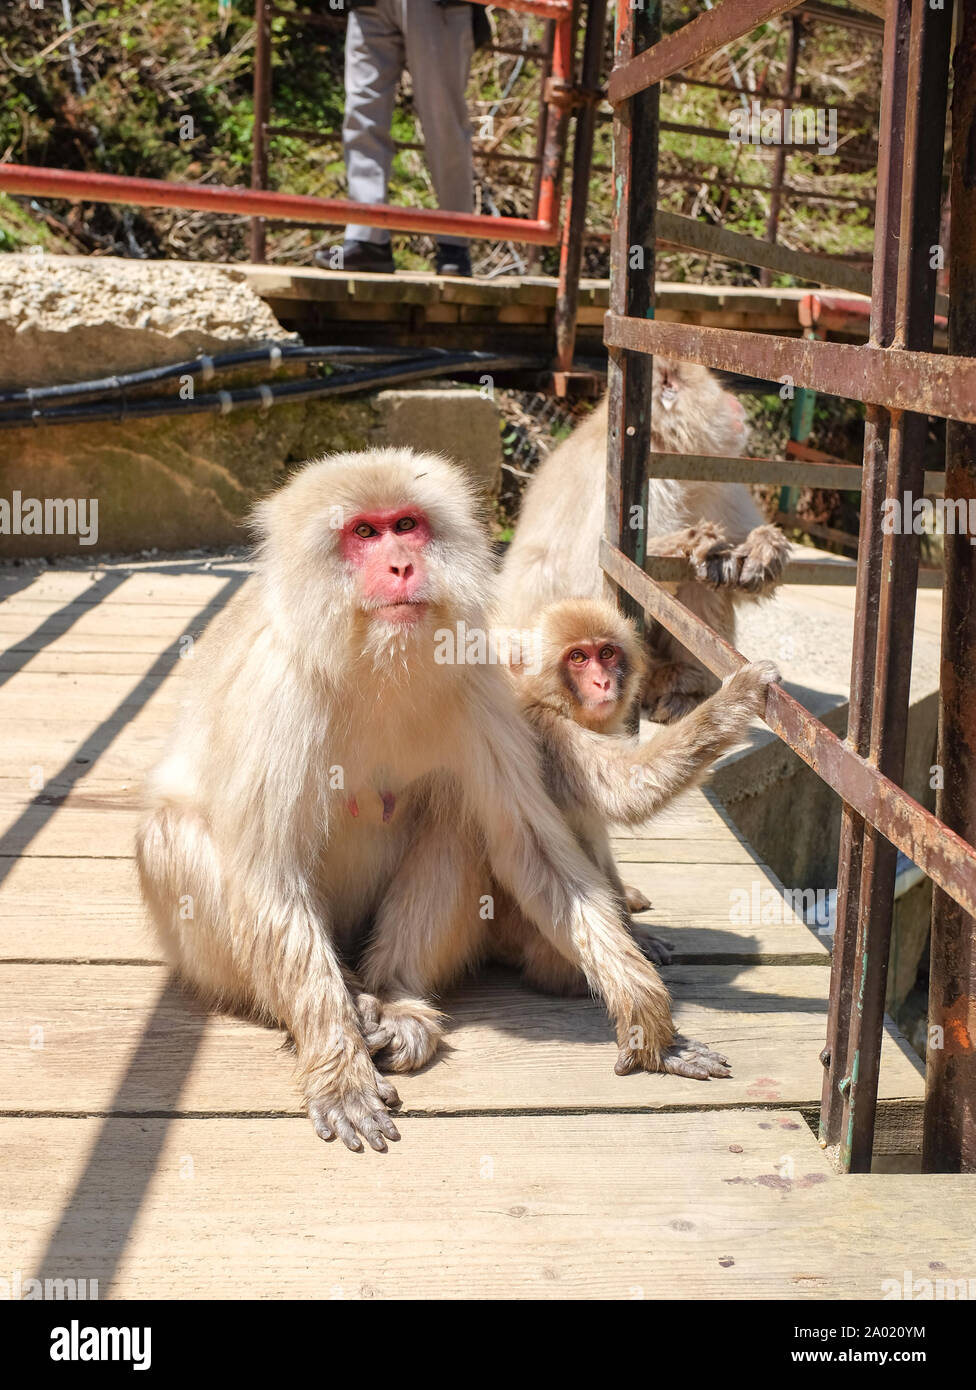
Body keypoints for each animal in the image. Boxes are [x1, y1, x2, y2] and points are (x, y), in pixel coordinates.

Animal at [137, 447, 749, 1153]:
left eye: (407, 524)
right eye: (365, 533)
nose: (402, 565)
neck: (374, 660)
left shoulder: (477, 679)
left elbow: (527, 847)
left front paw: (650, 1021)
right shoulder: (275, 687)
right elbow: (270, 873)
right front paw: (338, 1072)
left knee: (457, 817)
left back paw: (396, 1002)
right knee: (172, 833)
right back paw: (350, 1004)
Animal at [494, 358, 792, 724]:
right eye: (719, 391)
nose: (736, 403)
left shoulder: (719, 484)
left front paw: (764, 549)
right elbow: (600, 582)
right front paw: (689, 543)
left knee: (706, 585)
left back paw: (687, 686)